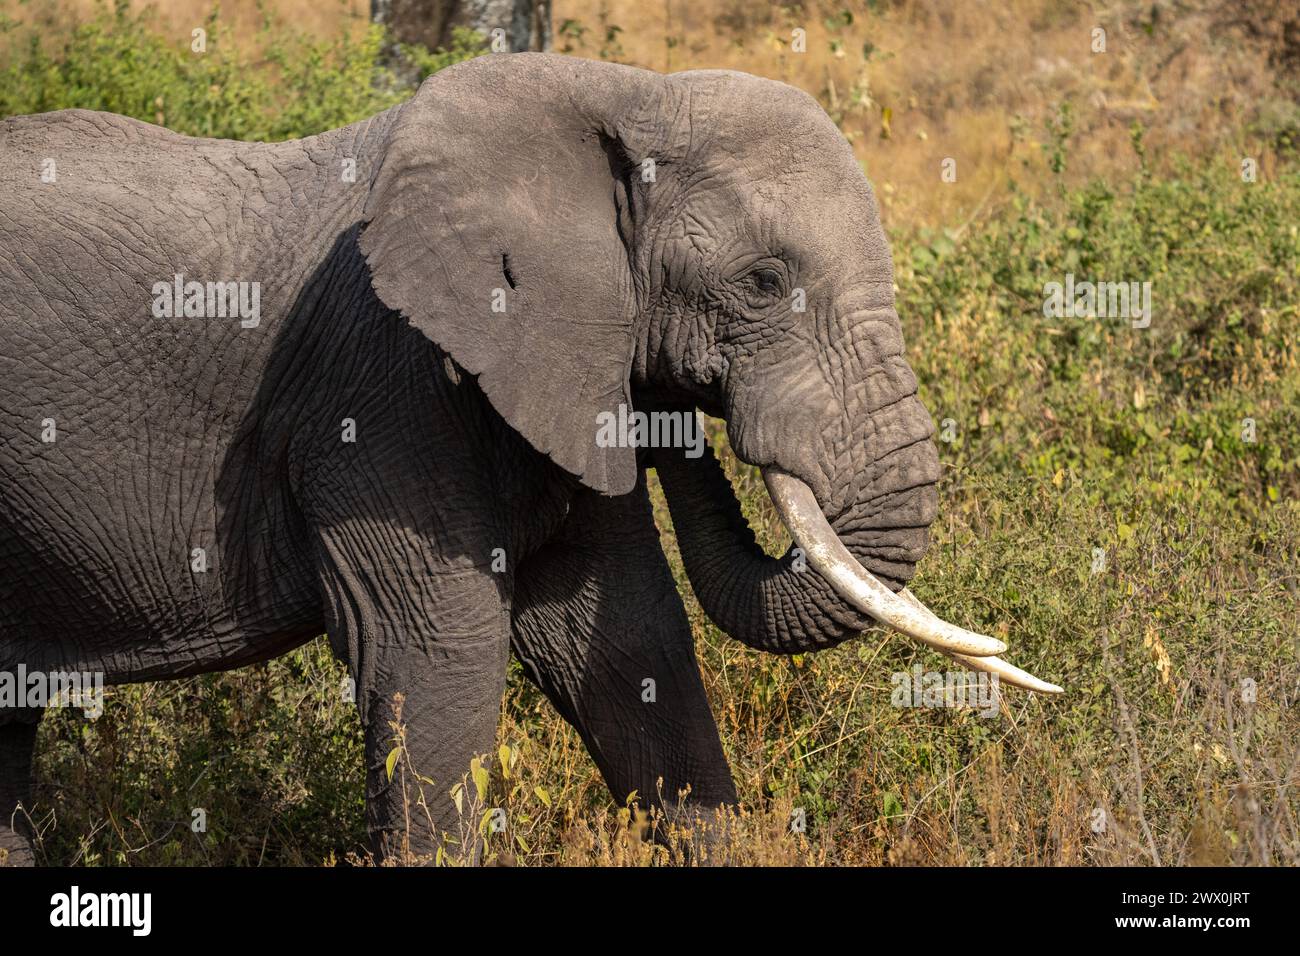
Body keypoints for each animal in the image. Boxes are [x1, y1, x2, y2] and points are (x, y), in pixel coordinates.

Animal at [0, 52, 1059, 865]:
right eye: (763, 282)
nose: (677, 405)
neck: (628, 94)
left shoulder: (556, 372)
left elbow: (628, 635)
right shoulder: (382, 383)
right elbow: (436, 651)